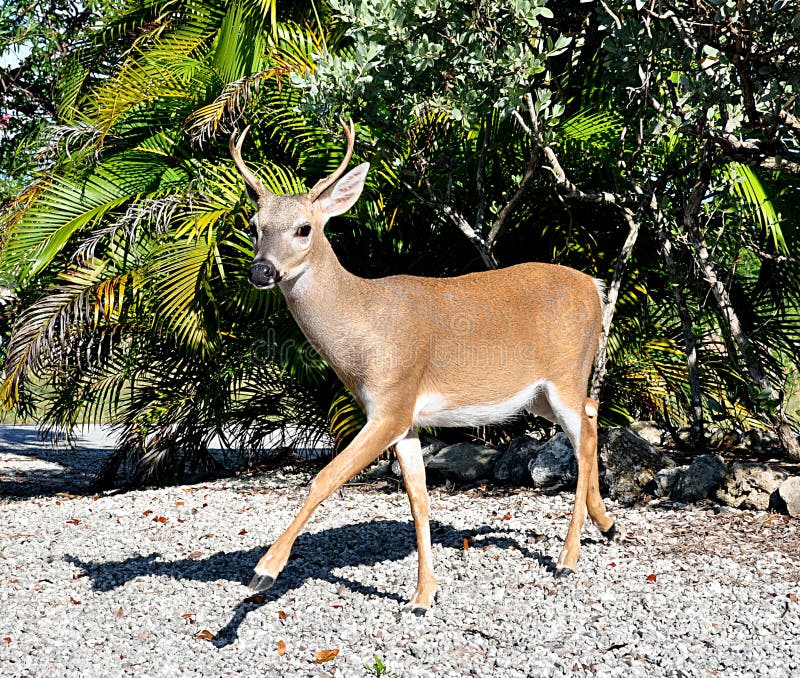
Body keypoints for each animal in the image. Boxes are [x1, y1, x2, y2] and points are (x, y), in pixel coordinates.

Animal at [229, 120, 616, 614]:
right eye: (254, 226)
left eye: (303, 228)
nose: (261, 270)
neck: (364, 325)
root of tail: (595, 286)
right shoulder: (404, 418)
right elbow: (418, 497)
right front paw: (423, 594)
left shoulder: (391, 402)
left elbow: (324, 477)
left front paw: (265, 570)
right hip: (539, 394)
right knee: (592, 414)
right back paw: (606, 524)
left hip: (566, 371)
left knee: (583, 437)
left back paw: (569, 557)